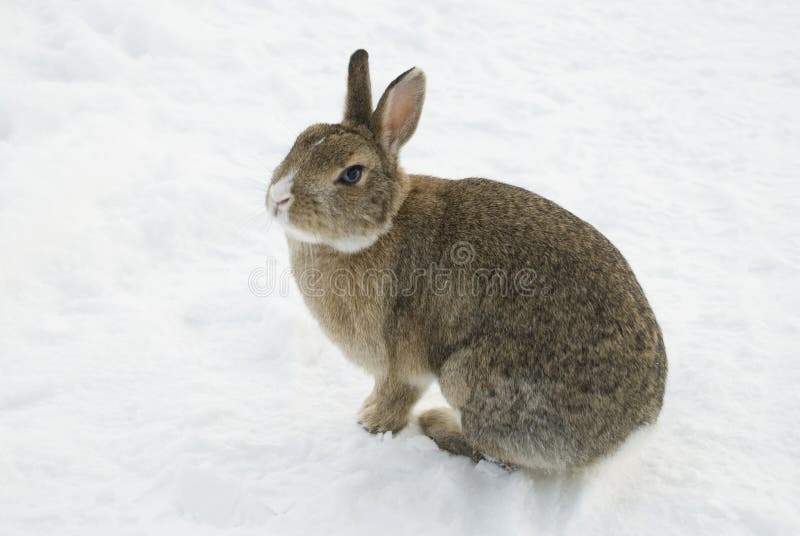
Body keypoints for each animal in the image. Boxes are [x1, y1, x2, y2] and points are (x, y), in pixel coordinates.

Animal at [266, 49, 667, 472]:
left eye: (352, 174)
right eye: (299, 141)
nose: (277, 197)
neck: (379, 230)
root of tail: (630, 434)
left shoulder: (401, 363)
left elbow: (397, 395)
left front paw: (370, 422)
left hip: (470, 375)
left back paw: (437, 424)